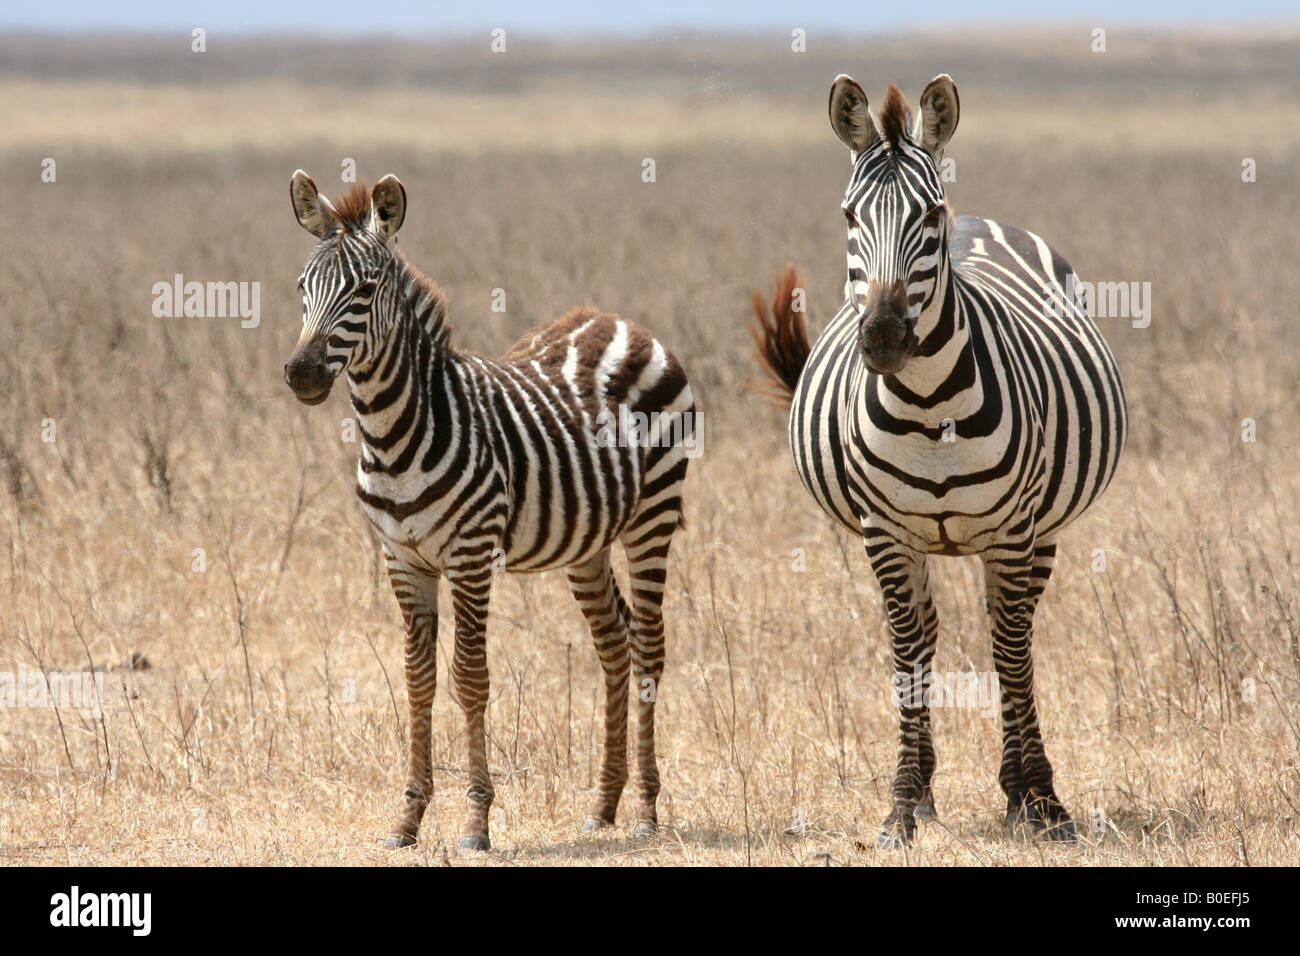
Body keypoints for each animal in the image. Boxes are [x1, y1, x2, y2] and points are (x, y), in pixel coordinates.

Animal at [283, 170, 694, 851]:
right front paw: (407, 819)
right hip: (587, 539)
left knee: (651, 646)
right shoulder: (402, 560)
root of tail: (618, 321)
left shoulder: (471, 556)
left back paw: (645, 811)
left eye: (364, 290)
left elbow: (470, 679)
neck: (394, 436)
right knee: (615, 642)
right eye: (301, 288)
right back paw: (603, 806)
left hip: (652, 517)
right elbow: (418, 680)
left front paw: (476, 821)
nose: (302, 373)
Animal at [751, 75, 1127, 846]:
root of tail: (982, 219)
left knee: (1010, 631)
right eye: (848, 215)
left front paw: (1043, 802)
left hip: (1041, 530)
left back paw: (1017, 790)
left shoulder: (1013, 530)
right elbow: (905, 655)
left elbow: (1010, 654)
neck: (929, 407)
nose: (884, 338)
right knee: (926, 634)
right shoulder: (886, 533)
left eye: (929, 215)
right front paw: (900, 807)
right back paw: (926, 792)